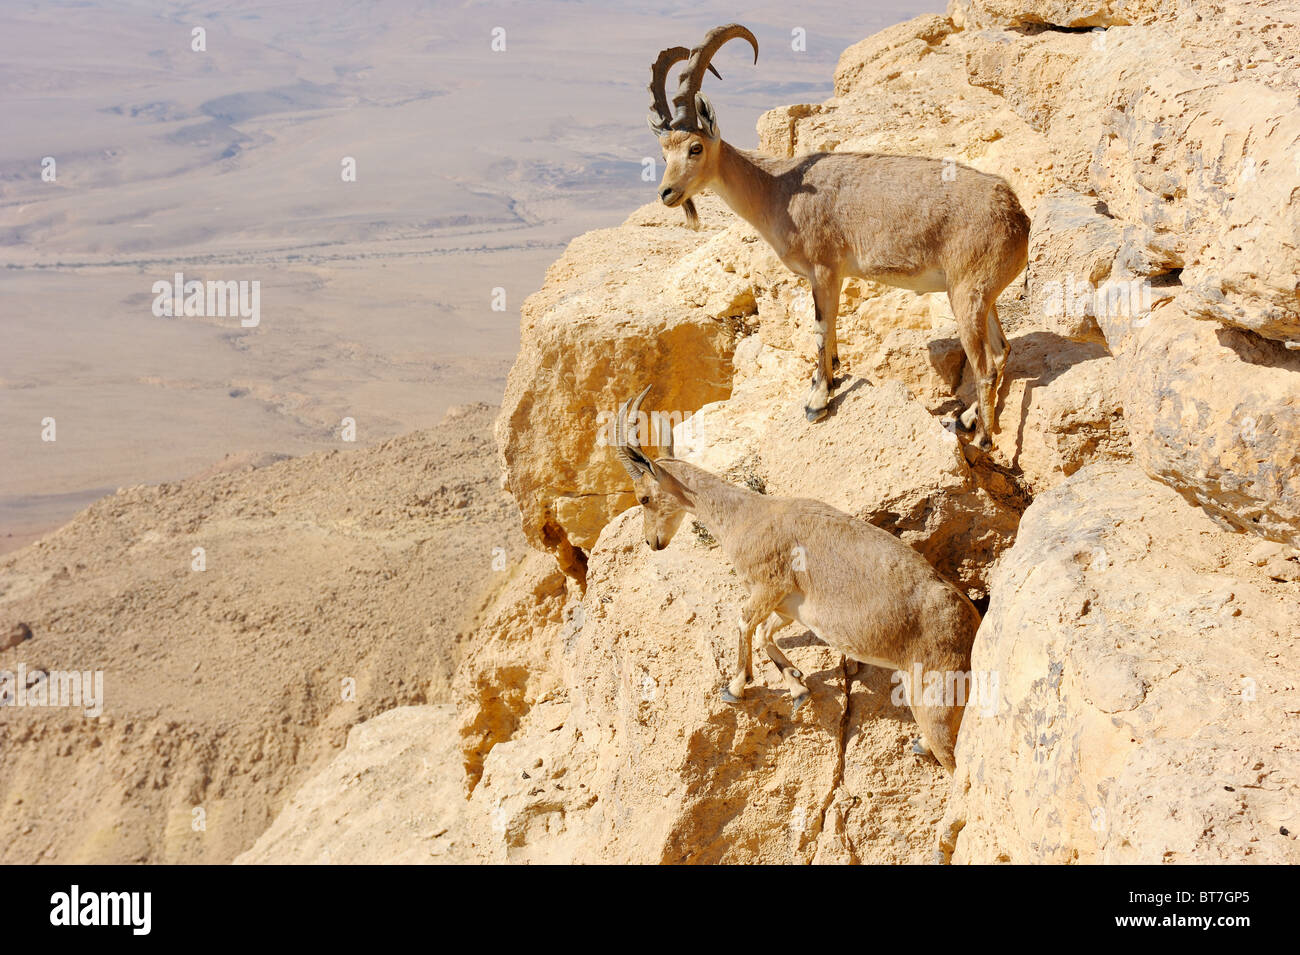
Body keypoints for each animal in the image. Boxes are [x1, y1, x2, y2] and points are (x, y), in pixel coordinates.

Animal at [613, 386, 981, 771]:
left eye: (643, 498)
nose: (652, 542)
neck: (745, 515)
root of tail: (971, 622)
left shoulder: (767, 584)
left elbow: (745, 622)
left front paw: (735, 687)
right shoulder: (789, 606)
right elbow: (764, 633)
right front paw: (798, 688)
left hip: (934, 697)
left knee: (953, 760)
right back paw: (918, 744)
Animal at [647, 24, 1030, 448]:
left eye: (695, 147)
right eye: (663, 153)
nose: (666, 193)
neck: (777, 191)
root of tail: (1016, 215)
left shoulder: (824, 267)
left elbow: (819, 327)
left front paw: (817, 401)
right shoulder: (835, 275)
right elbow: (829, 328)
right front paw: (832, 375)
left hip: (965, 293)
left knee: (985, 366)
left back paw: (982, 438)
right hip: (984, 295)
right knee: (1002, 351)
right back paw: (965, 417)